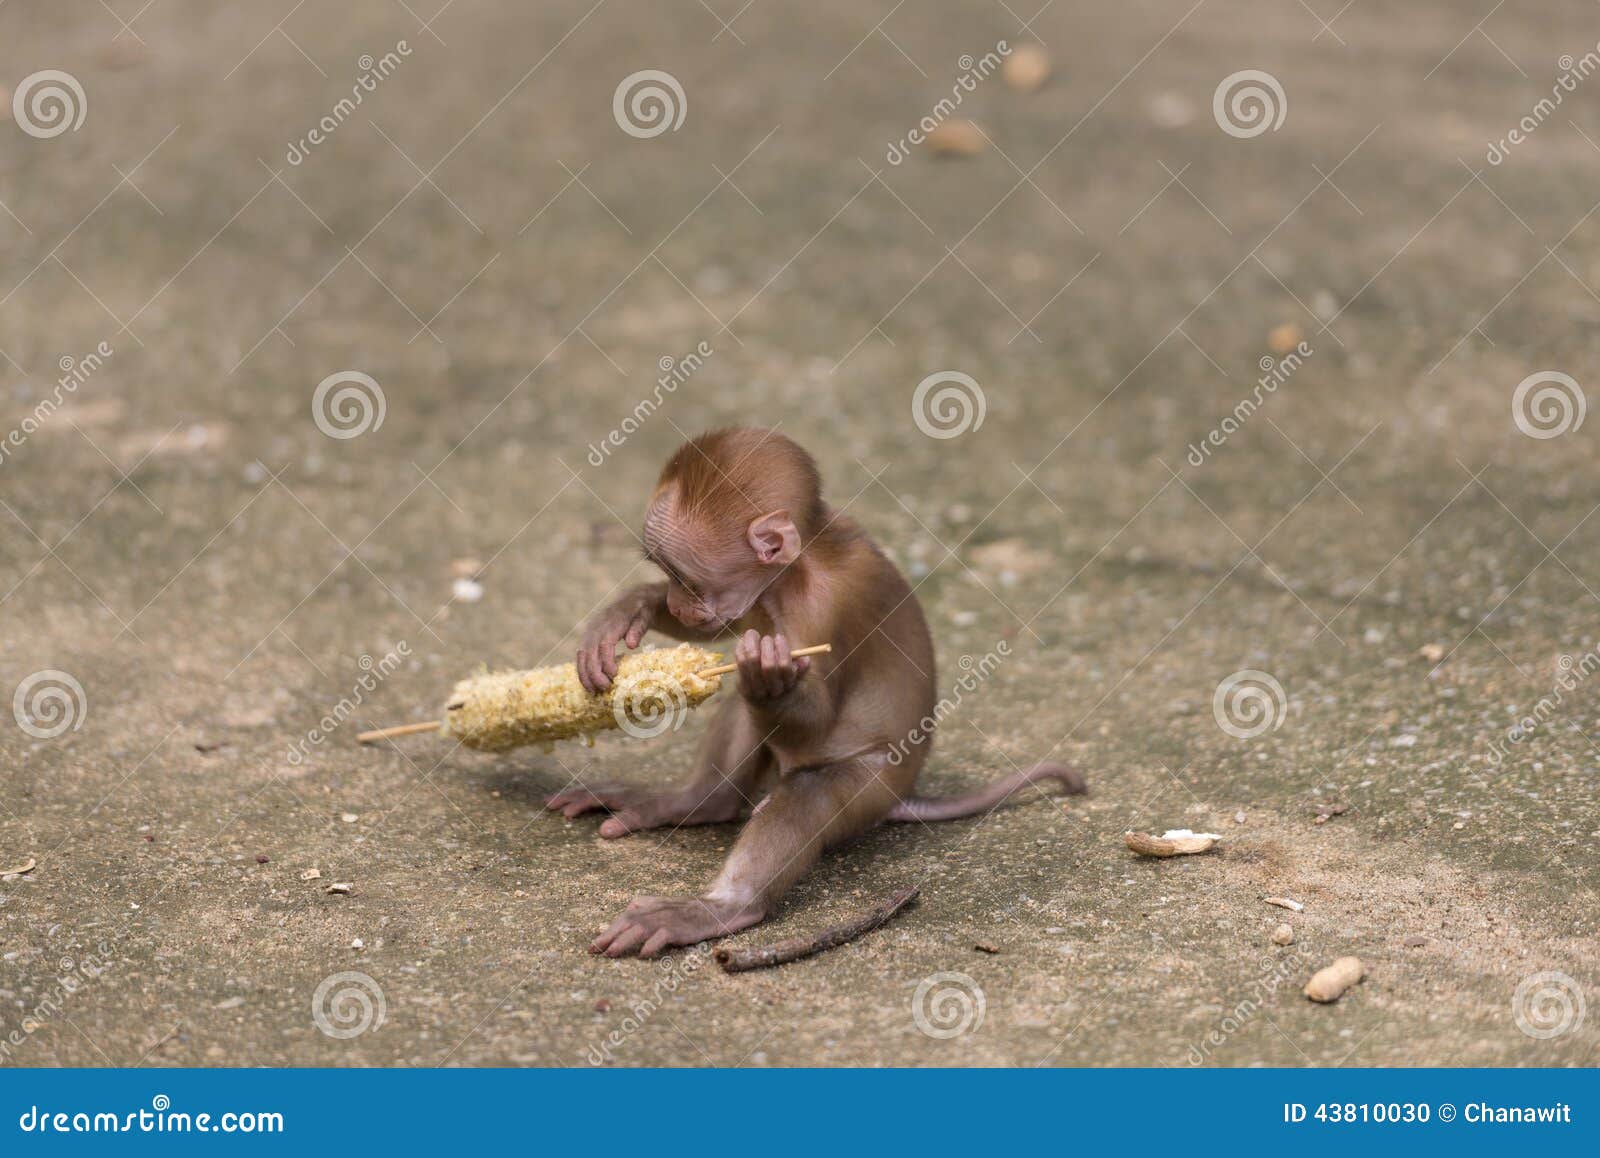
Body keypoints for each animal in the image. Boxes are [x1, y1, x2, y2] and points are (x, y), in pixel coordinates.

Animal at [549, 427, 1085, 958]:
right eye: (666, 575)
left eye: (686, 579)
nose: (678, 605)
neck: (793, 572)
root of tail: (902, 795)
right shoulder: (753, 601)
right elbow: (721, 635)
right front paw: (628, 609)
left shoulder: (820, 613)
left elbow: (815, 717)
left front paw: (768, 679)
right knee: (741, 721)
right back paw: (697, 800)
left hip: (871, 787)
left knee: (808, 790)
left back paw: (722, 907)